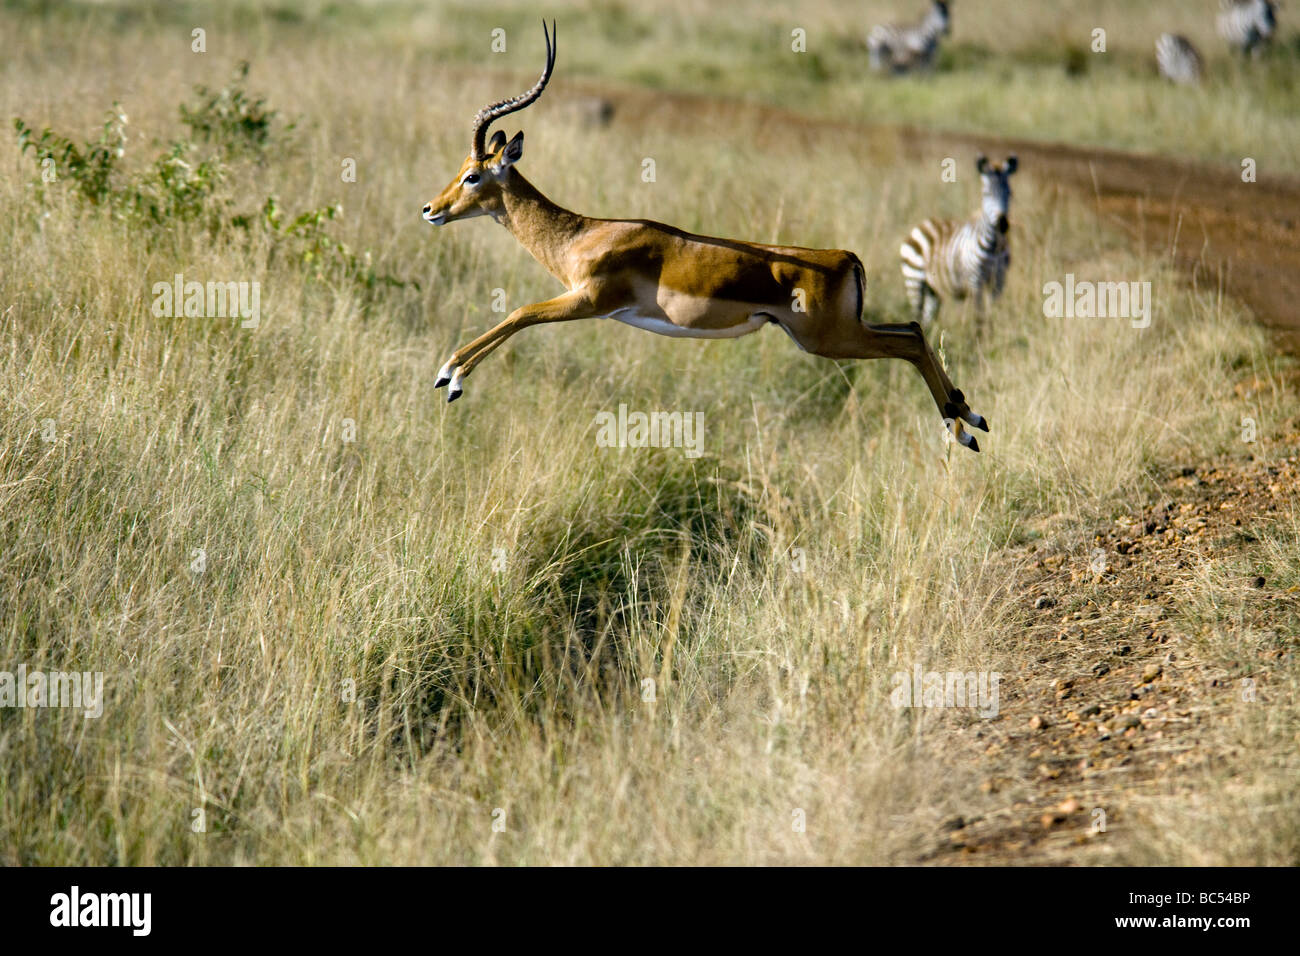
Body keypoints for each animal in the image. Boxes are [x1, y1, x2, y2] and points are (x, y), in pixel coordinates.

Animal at [423, 23, 989, 450]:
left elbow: (519, 313)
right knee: (915, 328)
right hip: (844, 331)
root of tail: (845, 256)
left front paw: (450, 376)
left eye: (473, 175)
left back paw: (964, 429)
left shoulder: (589, 300)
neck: (583, 234)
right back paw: (970, 418)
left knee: (910, 341)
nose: (431, 209)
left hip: (829, 339)